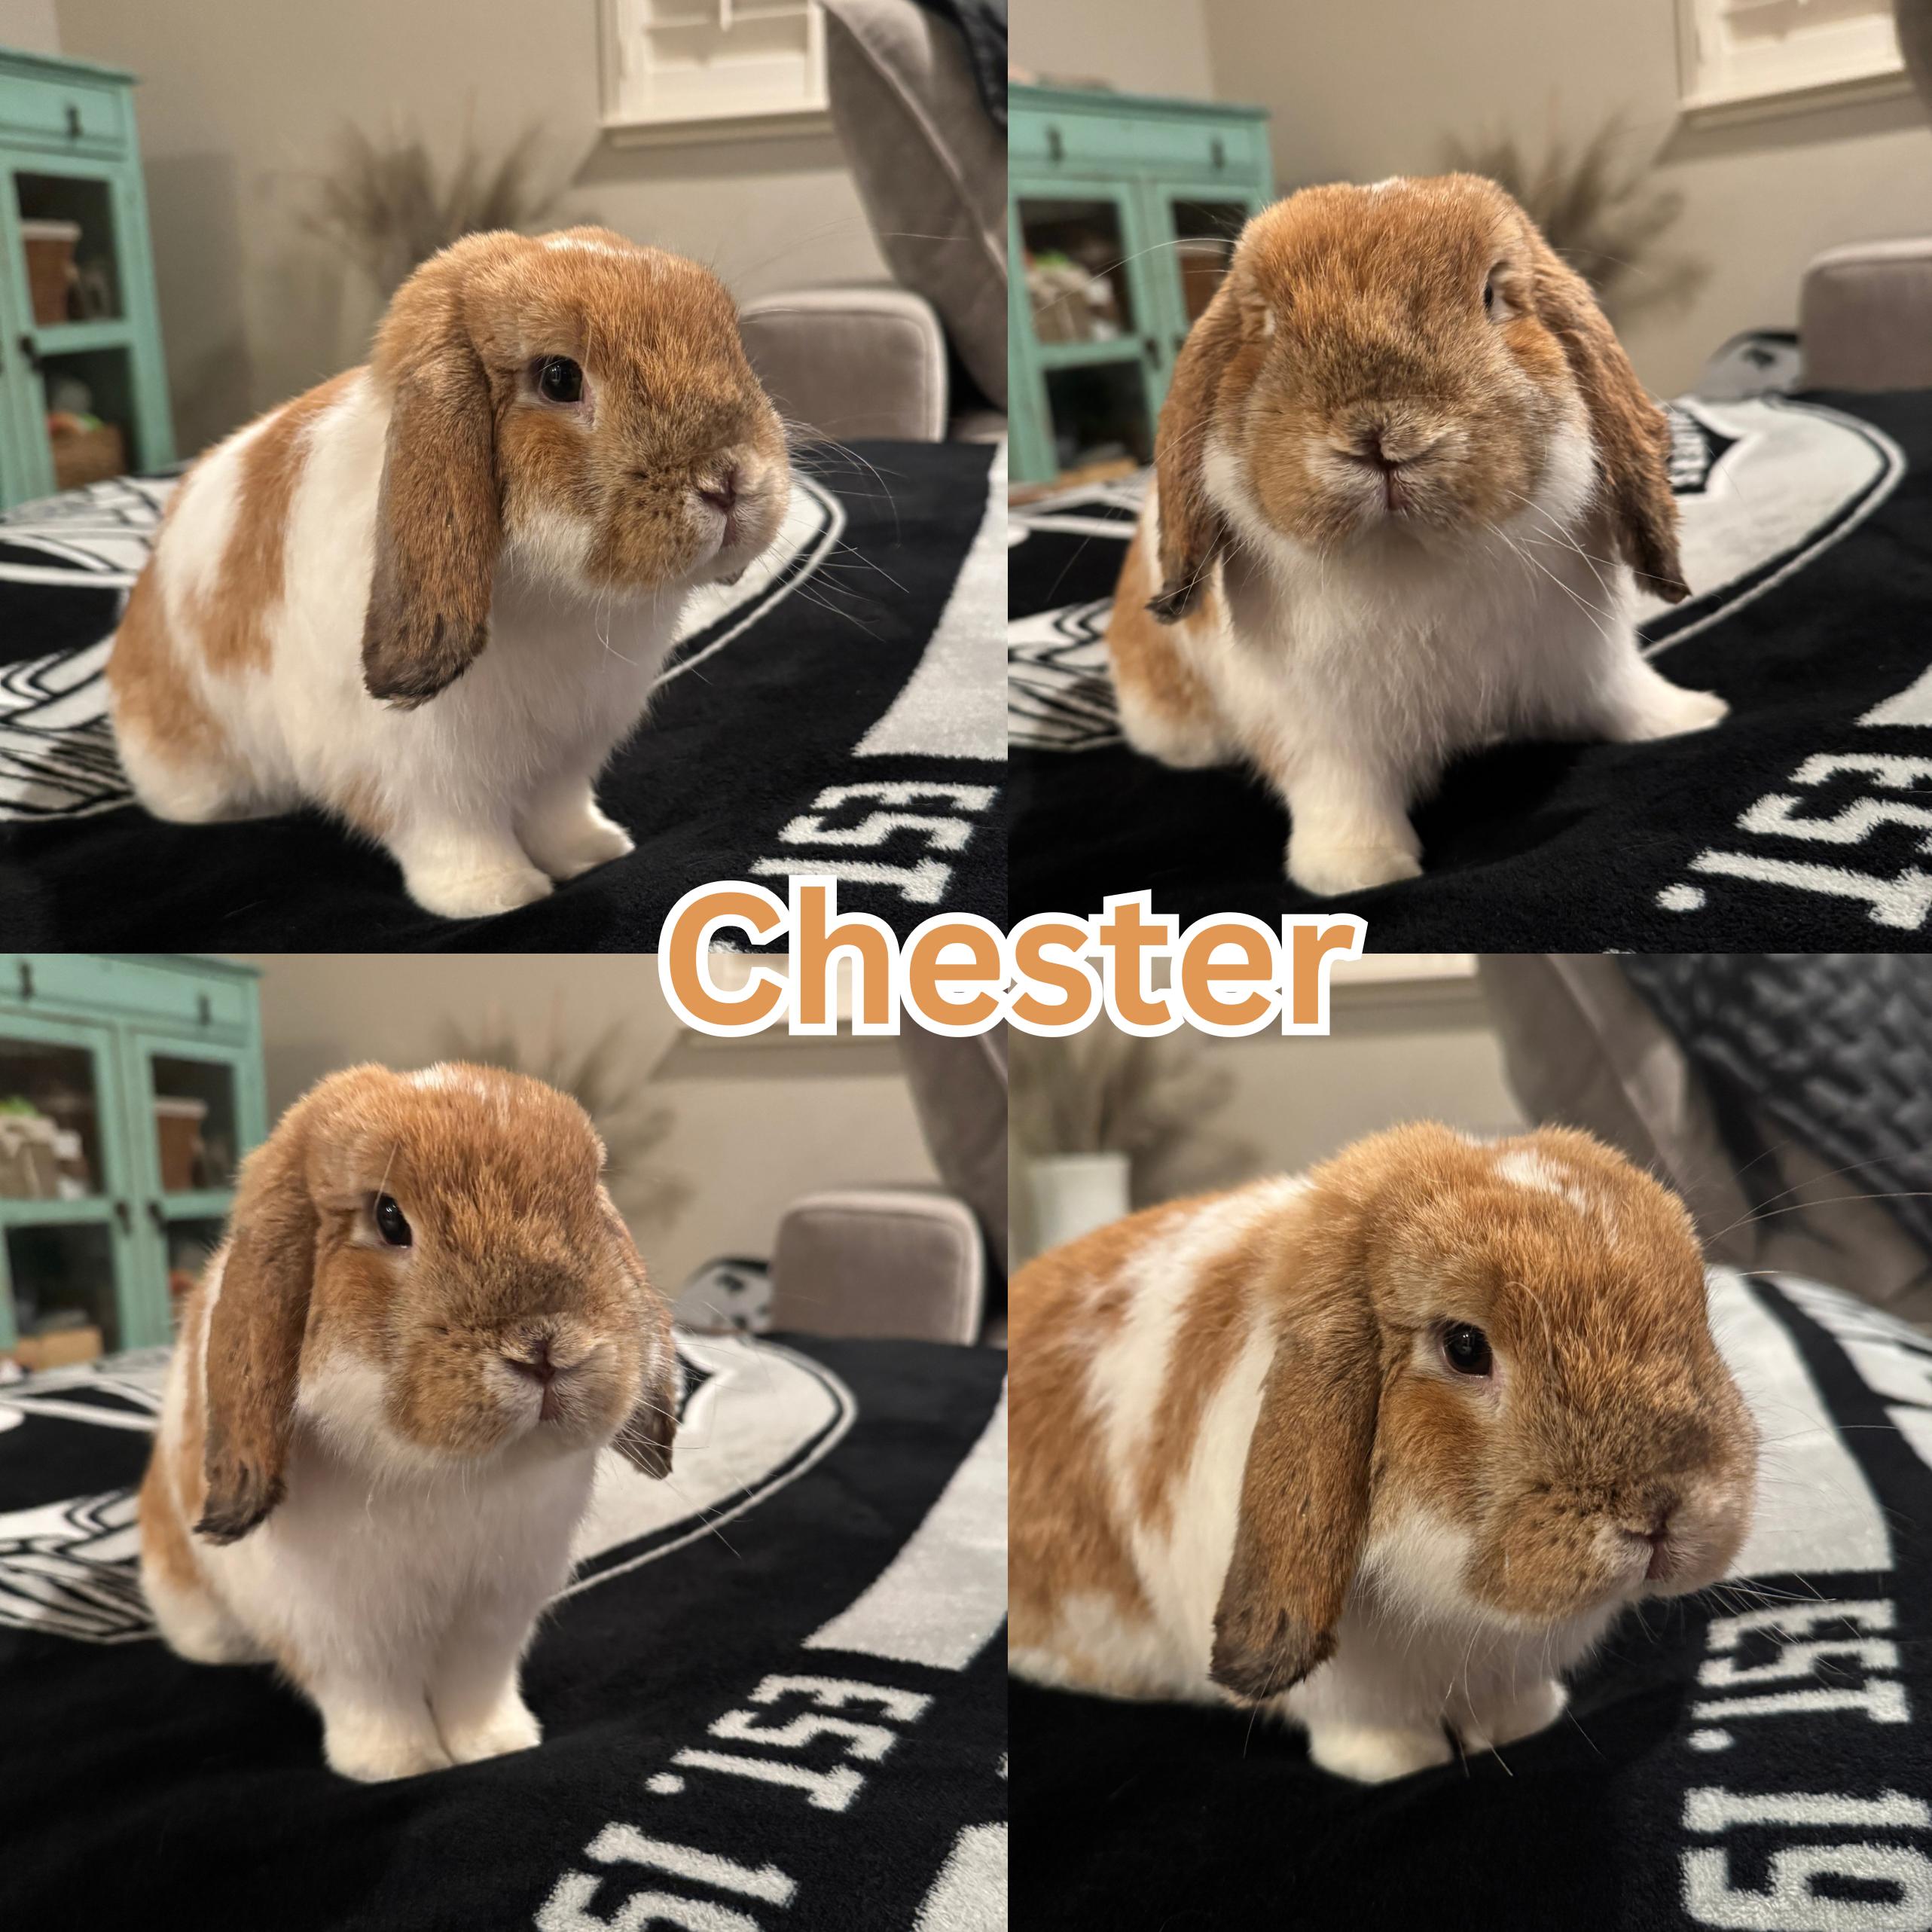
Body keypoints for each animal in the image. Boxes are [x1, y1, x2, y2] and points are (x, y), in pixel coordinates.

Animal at [107, 227, 790, 920]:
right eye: (559, 377)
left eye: (726, 336)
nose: (728, 479)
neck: (557, 601)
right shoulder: (416, 778)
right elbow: (453, 836)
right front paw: (497, 894)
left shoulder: (566, 759)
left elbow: (559, 815)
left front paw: (594, 853)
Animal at [136, 1061, 680, 1783]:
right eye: (389, 1217)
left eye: (591, 1198)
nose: (545, 1346)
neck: (453, 1476)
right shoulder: (341, 1632)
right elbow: (373, 1699)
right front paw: (400, 1765)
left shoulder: (494, 1615)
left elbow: (476, 1689)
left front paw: (498, 1745)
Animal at [1106, 174, 1727, 899]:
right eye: (1265, 323)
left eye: (1491, 294)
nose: (1379, 436)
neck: (1413, 556)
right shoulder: (1317, 735)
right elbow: (1343, 798)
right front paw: (1357, 873)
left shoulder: (1589, 661)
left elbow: (1627, 698)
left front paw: (1693, 717)